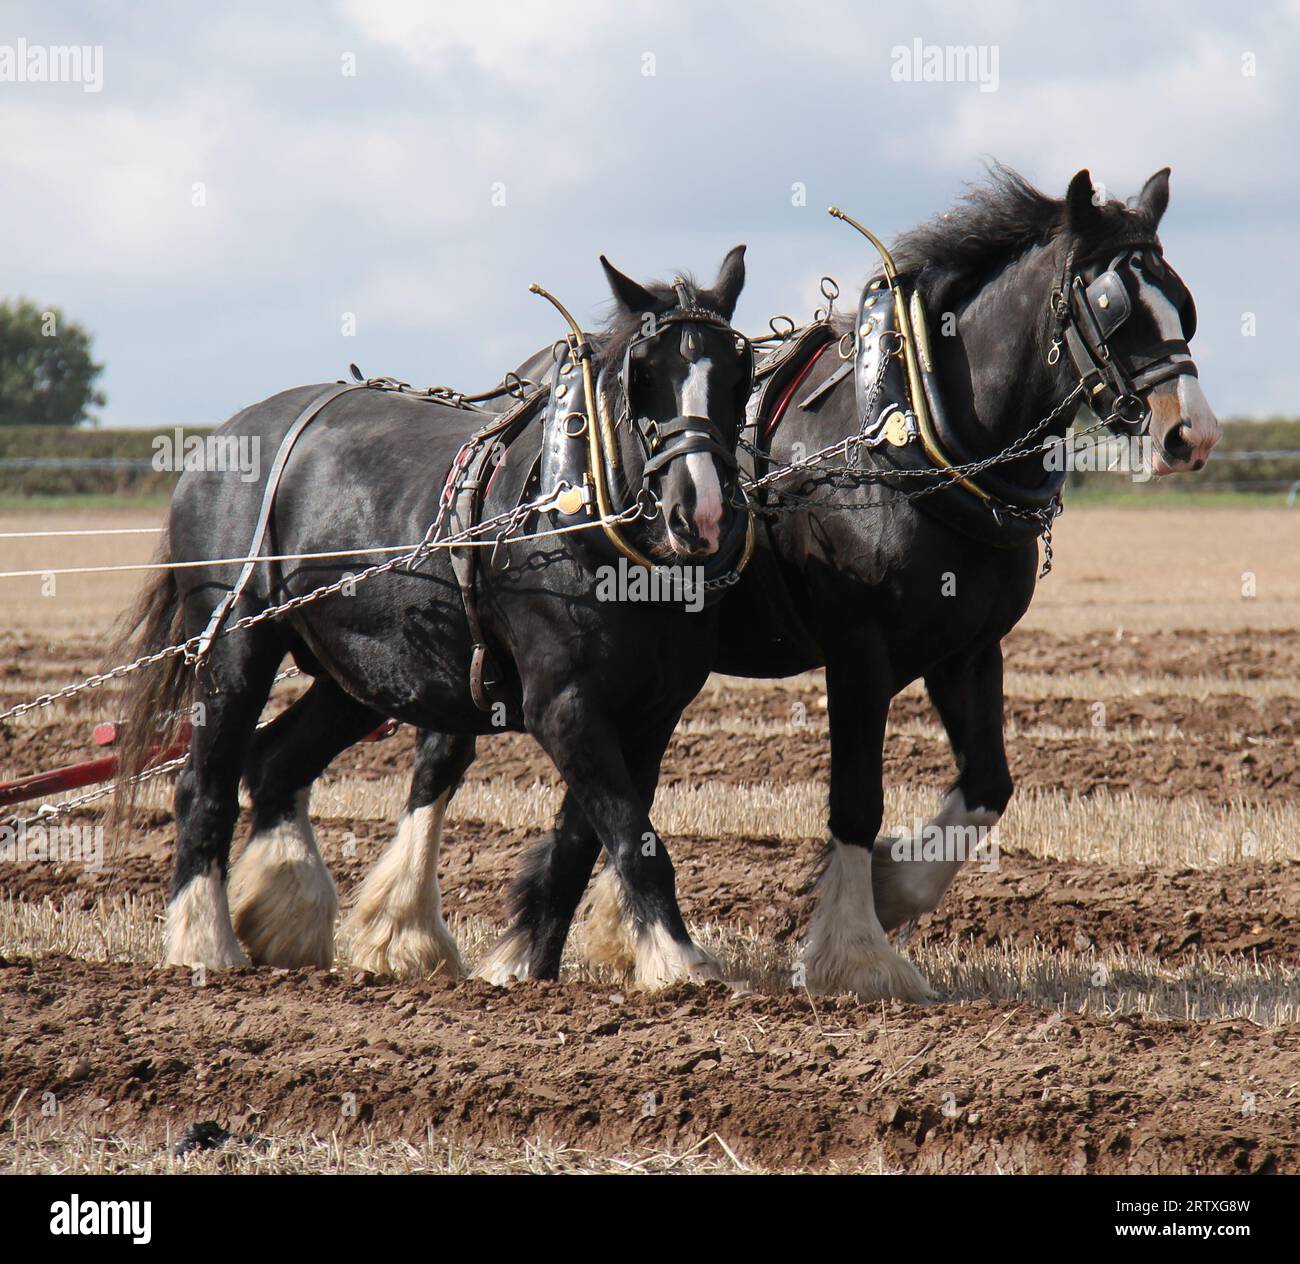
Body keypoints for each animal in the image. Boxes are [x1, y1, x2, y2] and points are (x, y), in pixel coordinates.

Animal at [112, 246, 755, 990]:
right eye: (643, 373)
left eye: (739, 373)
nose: (700, 513)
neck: (577, 518)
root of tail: (216, 444)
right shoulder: (563, 704)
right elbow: (628, 834)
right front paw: (681, 963)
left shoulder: (651, 713)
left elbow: (590, 837)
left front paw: (528, 966)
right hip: (234, 646)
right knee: (203, 784)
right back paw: (205, 943)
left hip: (365, 672)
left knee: (275, 764)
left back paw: (288, 919)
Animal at [458, 165, 1221, 998]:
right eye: (1111, 305)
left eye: (1182, 302)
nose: (1192, 434)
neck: (911, 433)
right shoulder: (859, 650)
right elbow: (856, 798)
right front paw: (854, 952)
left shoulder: (969, 650)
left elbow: (989, 783)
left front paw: (895, 891)